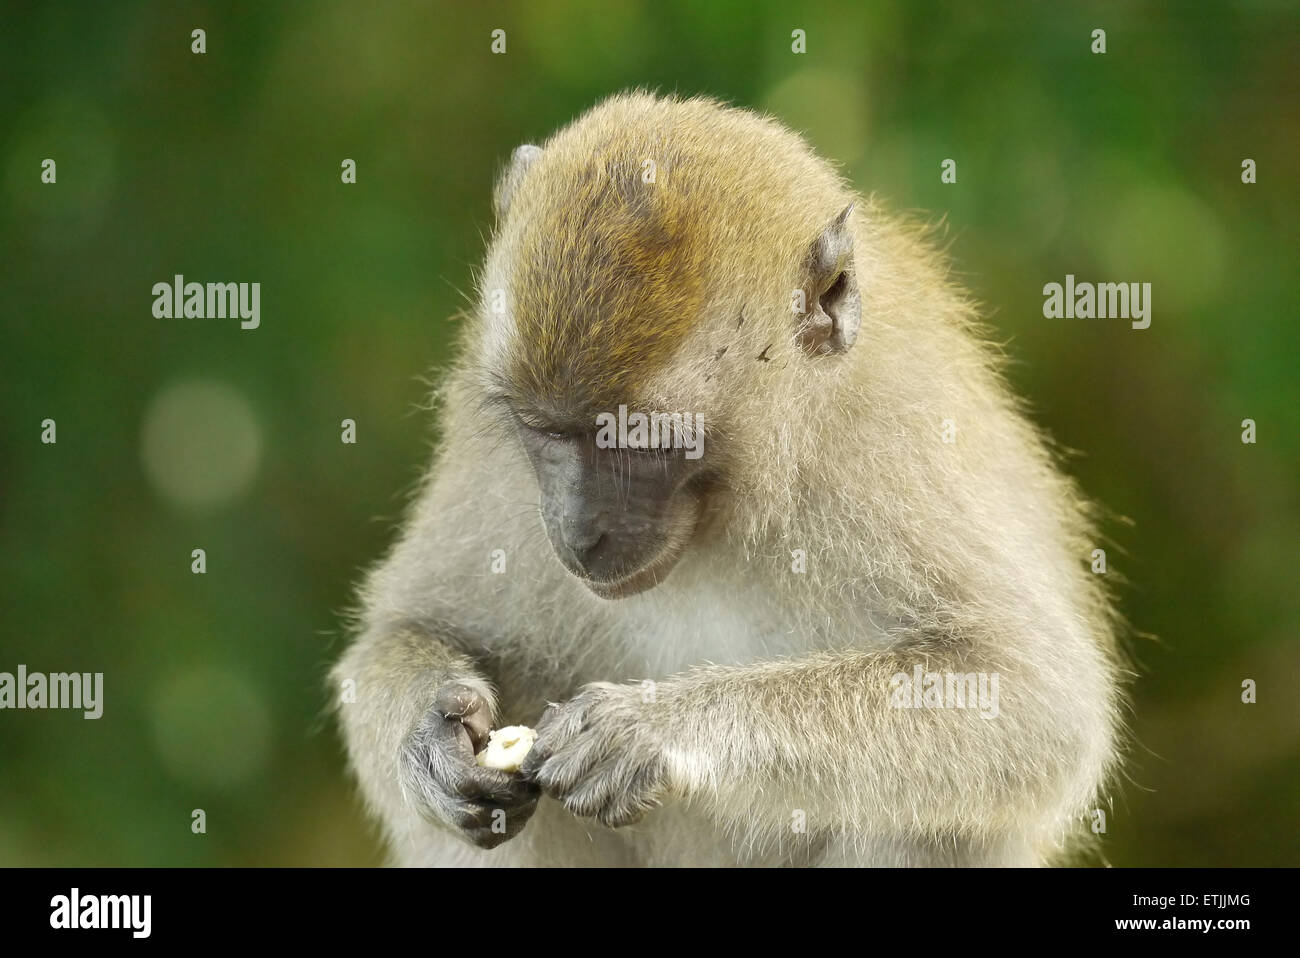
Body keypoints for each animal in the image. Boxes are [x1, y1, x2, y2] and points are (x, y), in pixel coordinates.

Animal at [332, 91, 1123, 867]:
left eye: (641, 441)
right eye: (545, 431)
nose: (579, 532)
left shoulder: (899, 448)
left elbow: (1032, 697)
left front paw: (656, 726)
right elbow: (410, 625)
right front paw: (432, 740)